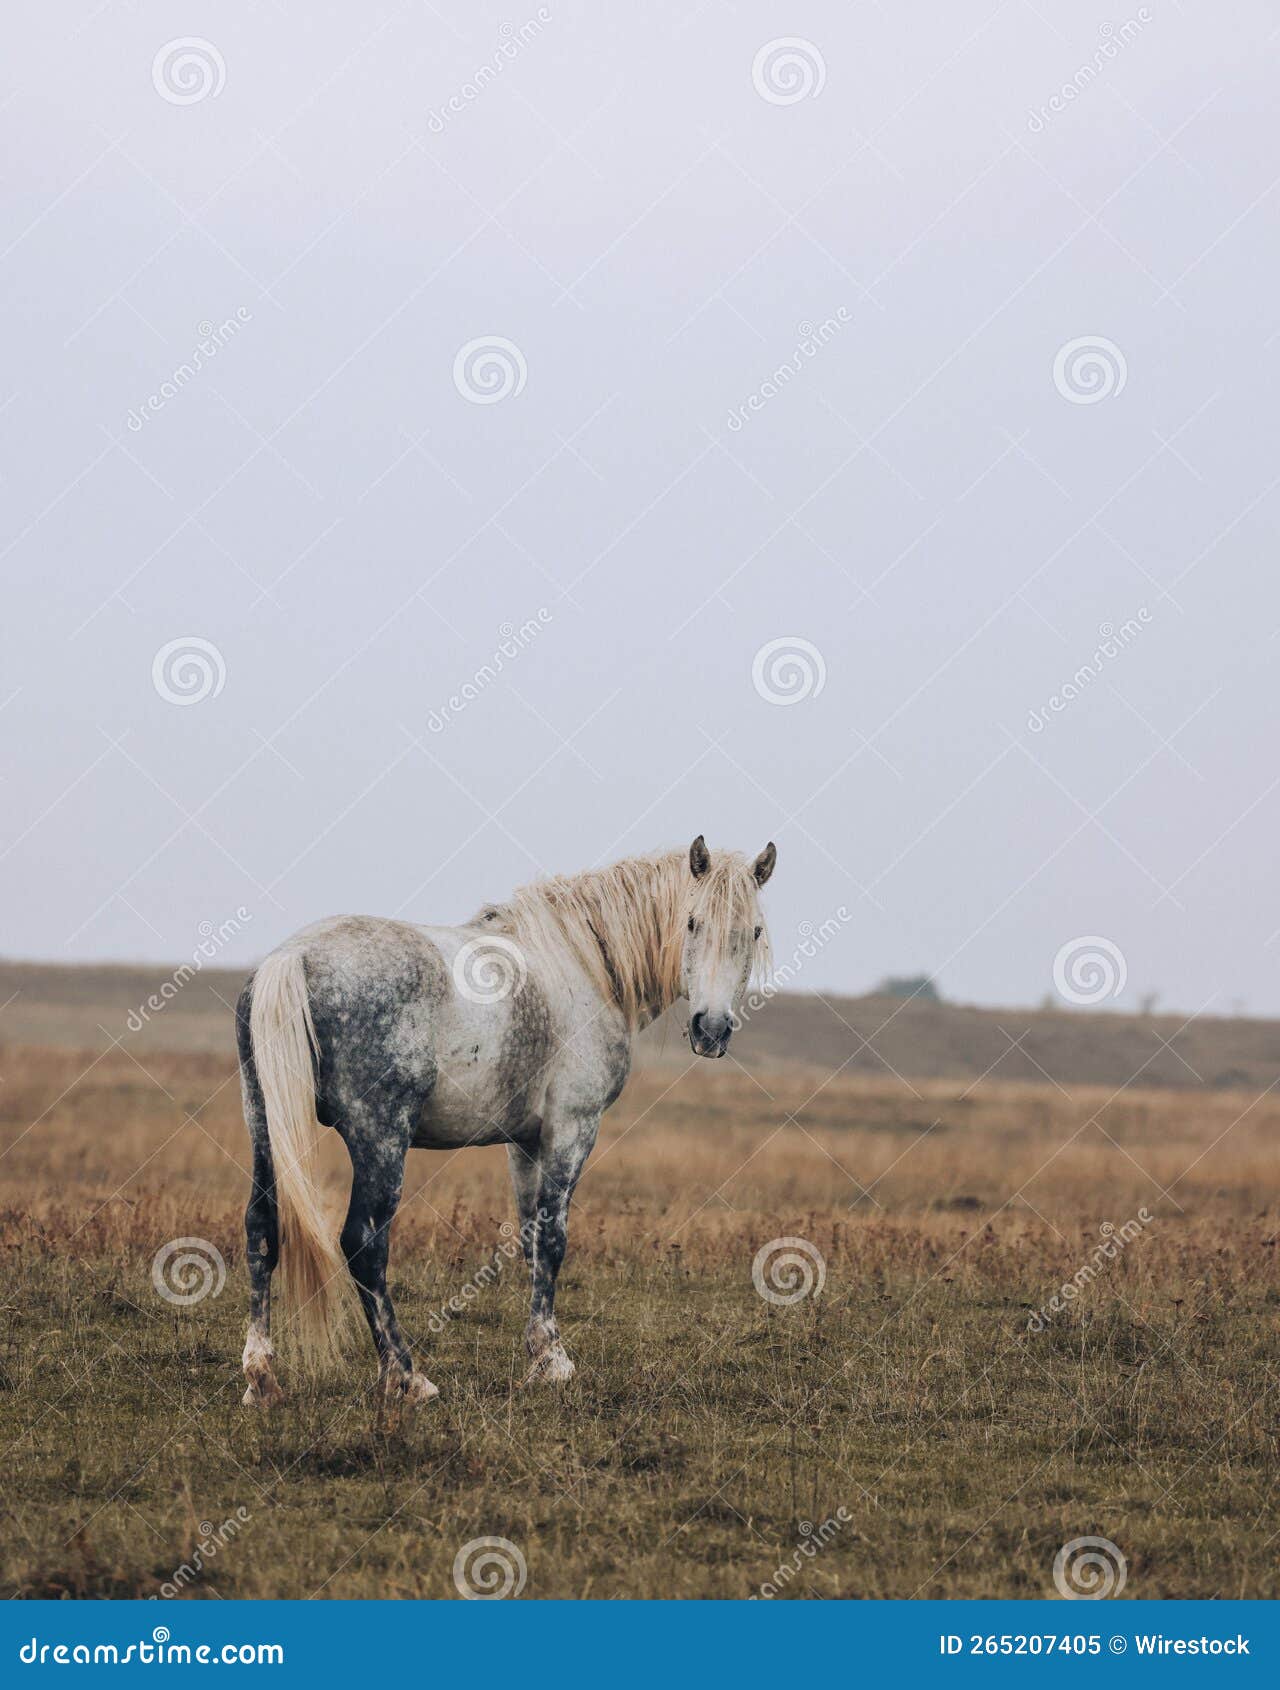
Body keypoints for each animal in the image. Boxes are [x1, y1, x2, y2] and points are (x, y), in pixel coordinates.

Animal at [236, 835, 776, 1405]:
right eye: (692, 923)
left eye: (754, 931)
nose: (711, 1029)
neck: (583, 965)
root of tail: (293, 957)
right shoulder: (571, 1130)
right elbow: (554, 1238)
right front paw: (554, 1359)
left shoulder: (524, 1143)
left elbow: (531, 1240)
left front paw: (538, 1351)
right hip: (380, 1139)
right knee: (364, 1243)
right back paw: (406, 1376)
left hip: (263, 1126)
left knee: (261, 1229)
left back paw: (261, 1377)